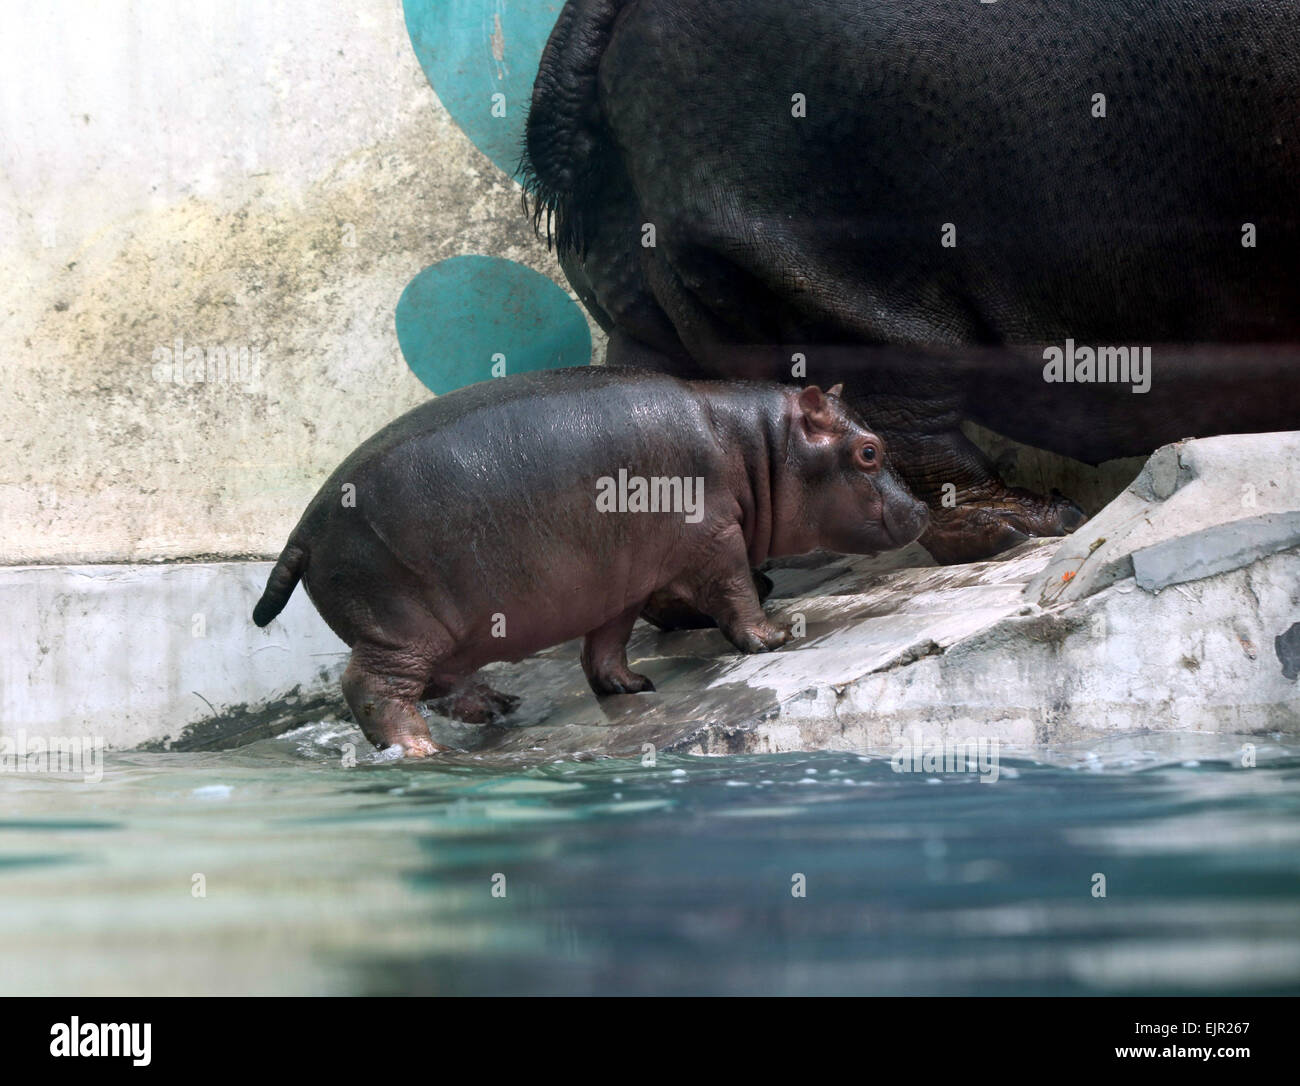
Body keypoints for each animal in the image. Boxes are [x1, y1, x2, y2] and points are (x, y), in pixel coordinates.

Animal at [252, 367, 927, 755]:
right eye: (869, 451)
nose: (923, 508)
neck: (757, 441)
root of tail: (300, 532)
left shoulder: (623, 579)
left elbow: (606, 642)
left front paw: (631, 685)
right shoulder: (716, 538)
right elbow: (736, 589)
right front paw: (773, 638)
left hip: (445, 632)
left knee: (442, 685)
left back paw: (498, 706)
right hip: (399, 628)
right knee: (373, 687)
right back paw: (421, 752)